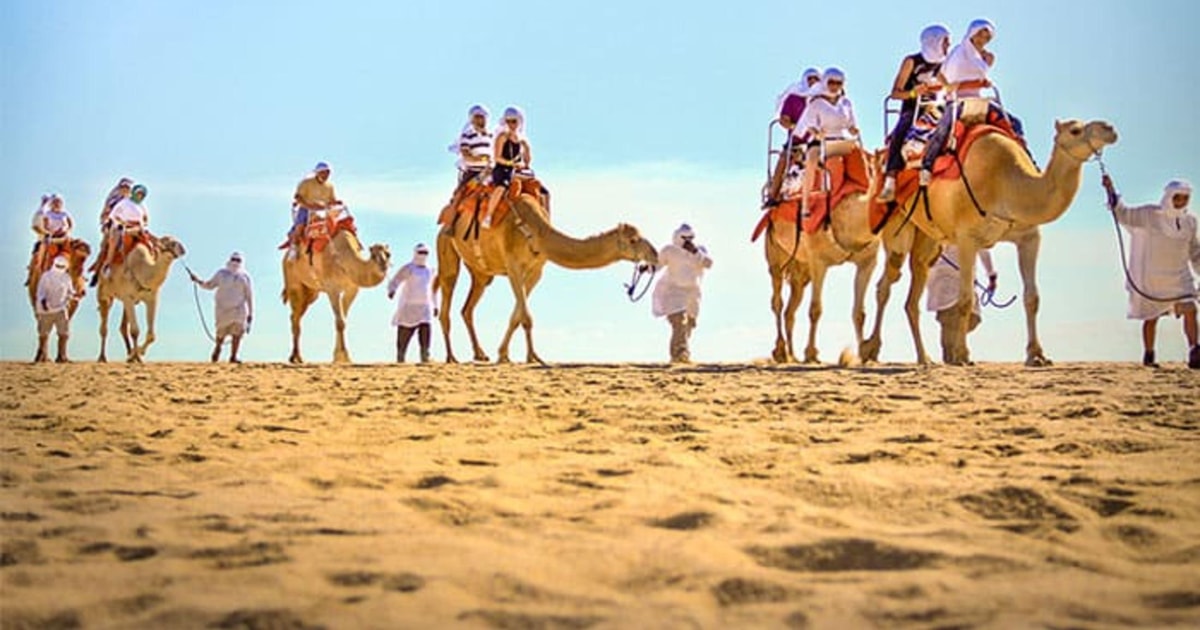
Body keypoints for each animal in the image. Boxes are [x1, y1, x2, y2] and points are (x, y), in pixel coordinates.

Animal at [282, 226, 391, 364]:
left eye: (388, 254)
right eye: (373, 255)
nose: (384, 265)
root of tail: (286, 257)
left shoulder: (352, 290)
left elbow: (344, 317)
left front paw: (338, 357)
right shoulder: (332, 289)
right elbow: (340, 322)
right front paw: (345, 355)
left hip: (312, 292)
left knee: (295, 316)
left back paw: (296, 357)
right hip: (294, 284)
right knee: (295, 316)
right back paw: (296, 357)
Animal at [437, 193, 658, 364]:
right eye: (633, 240)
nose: (655, 254)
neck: (537, 234)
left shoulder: (536, 272)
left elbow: (517, 315)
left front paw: (504, 355)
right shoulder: (513, 266)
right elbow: (526, 316)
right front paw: (532, 356)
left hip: (482, 273)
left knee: (467, 308)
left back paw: (480, 354)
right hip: (446, 247)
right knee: (446, 298)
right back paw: (451, 357)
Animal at [879, 118, 1118, 366]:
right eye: (1075, 130)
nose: (1110, 129)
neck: (1008, 183)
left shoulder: (1029, 237)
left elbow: (1032, 297)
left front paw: (1036, 355)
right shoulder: (967, 238)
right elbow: (965, 299)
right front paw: (962, 356)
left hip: (928, 238)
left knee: (914, 287)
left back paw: (924, 358)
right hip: (897, 227)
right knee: (887, 281)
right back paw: (872, 350)